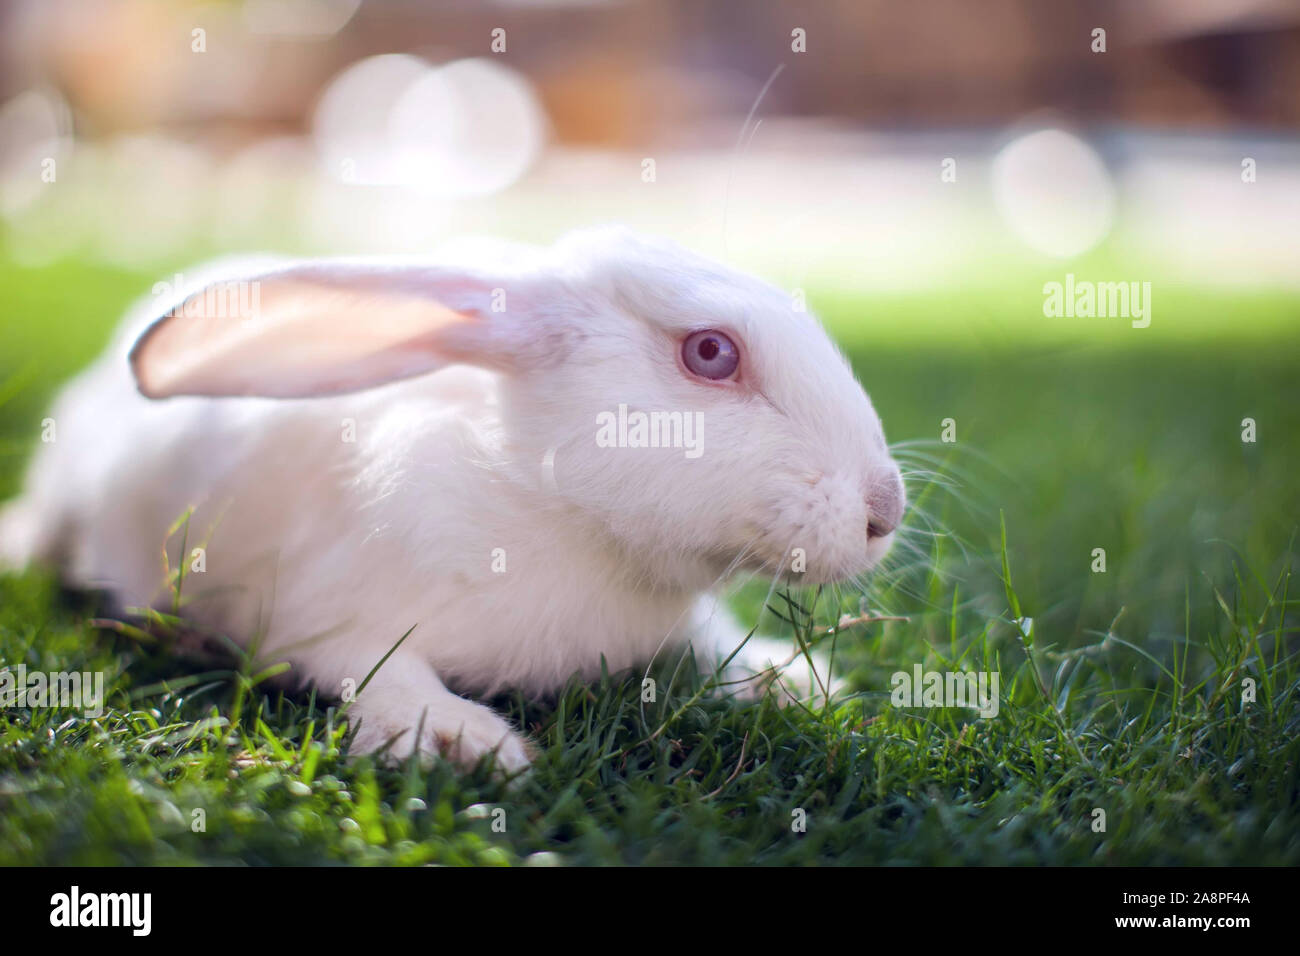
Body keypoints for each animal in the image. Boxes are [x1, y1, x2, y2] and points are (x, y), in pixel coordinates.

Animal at [0, 227, 905, 773]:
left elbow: (714, 642)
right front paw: (456, 739)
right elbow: (372, 666)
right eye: (711, 353)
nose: (884, 513)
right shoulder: (325, 611)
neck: (555, 500)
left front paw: (792, 679)